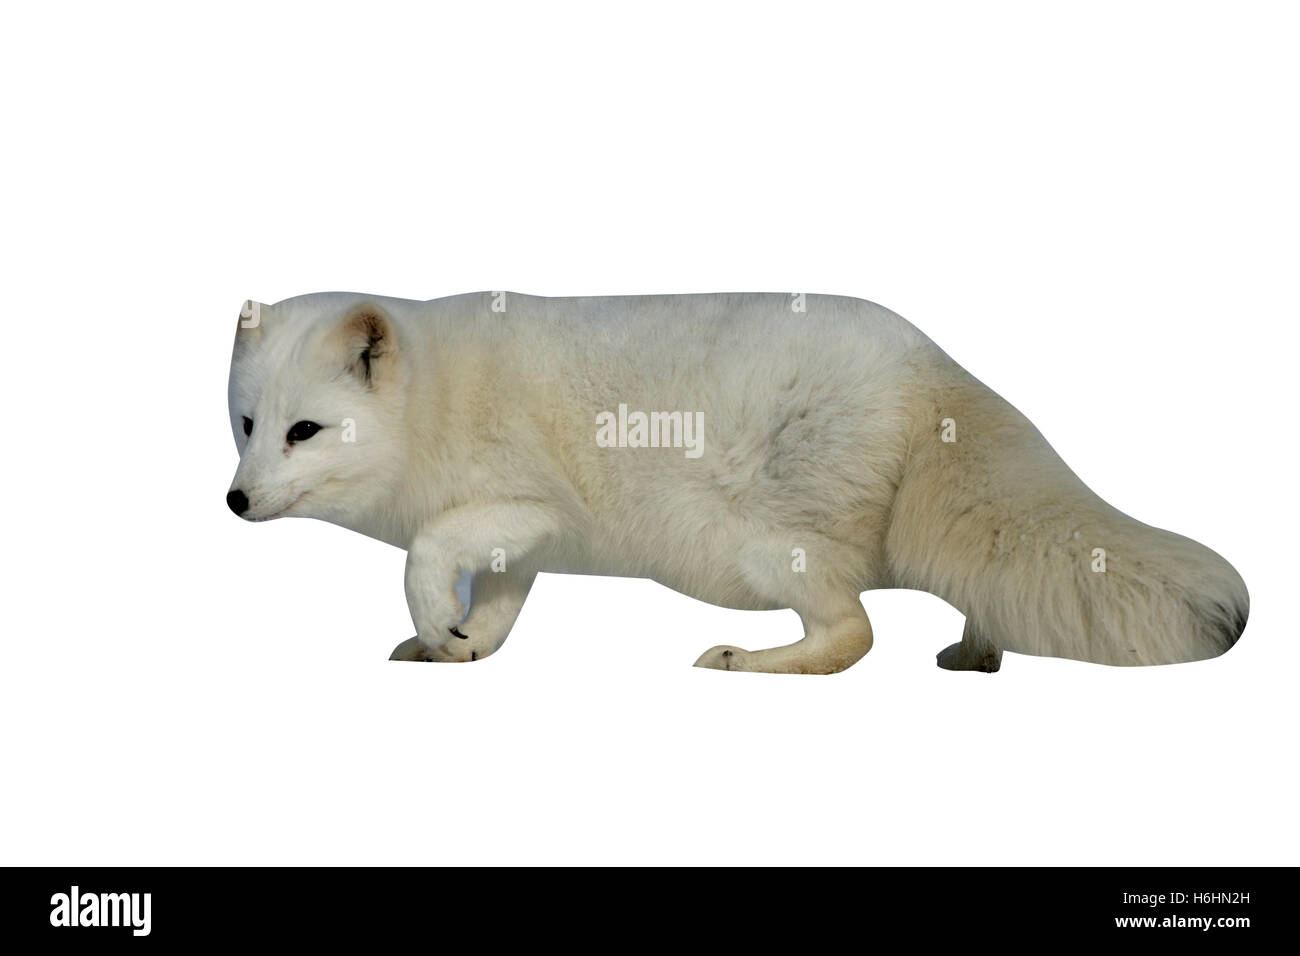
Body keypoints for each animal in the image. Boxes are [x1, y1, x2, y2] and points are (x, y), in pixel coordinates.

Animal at [226, 291, 1247, 673]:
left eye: (304, 431)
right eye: (246, 426)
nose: (234, 500)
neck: (438, 398)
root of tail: (938, 370)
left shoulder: (526, 502)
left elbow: (429, 552)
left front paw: (438, 622)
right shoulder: (536, 538)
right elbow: (503, 606)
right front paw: (458, 645)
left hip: (764, 548)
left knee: (853, 635)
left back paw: (753, 664)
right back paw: (976, 654)